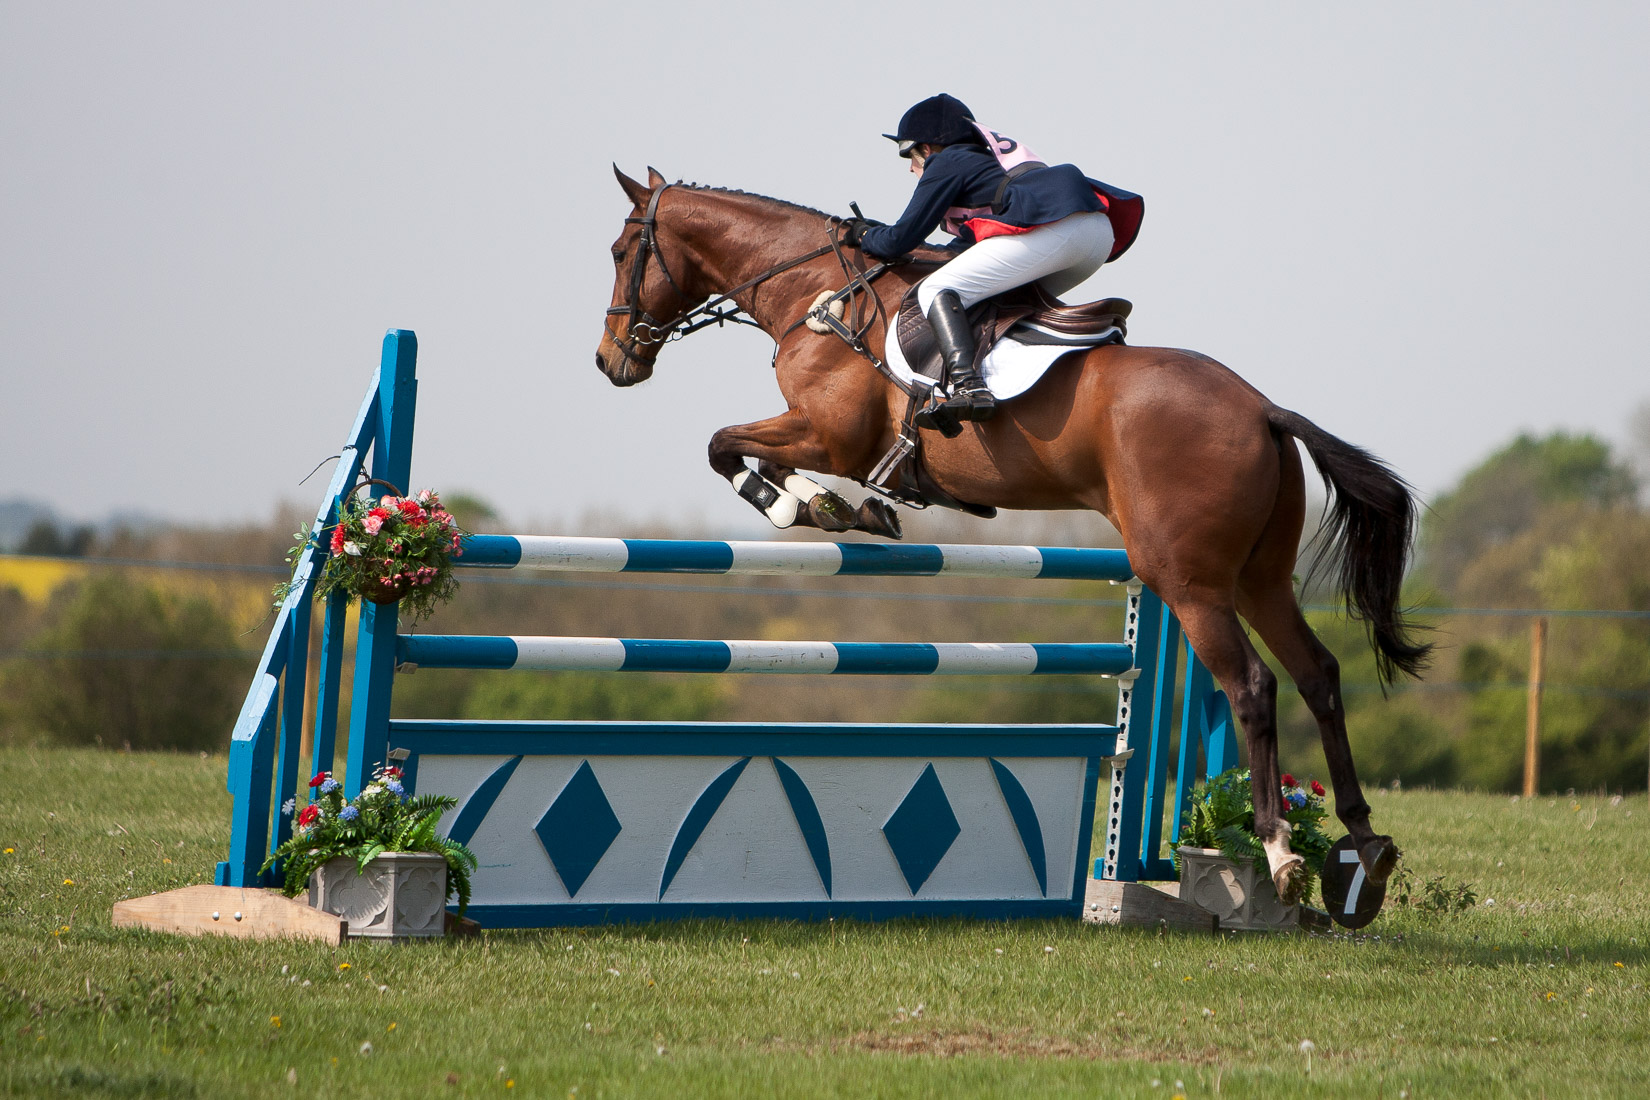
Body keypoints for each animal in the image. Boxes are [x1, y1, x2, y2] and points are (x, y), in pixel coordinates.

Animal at [595, 166, 1430, 902]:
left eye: (621, 252)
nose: (610, 362)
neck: (818, 293)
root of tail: (1262, 408)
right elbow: (739, 450)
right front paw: (844, 510)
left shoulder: (829, 436)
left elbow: (723, 446)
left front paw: (813, 508)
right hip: (1257, 578)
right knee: (1319, 673)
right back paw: (1362, 844)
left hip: (1186, 581)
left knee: (1252, 685)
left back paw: (1281, 852)